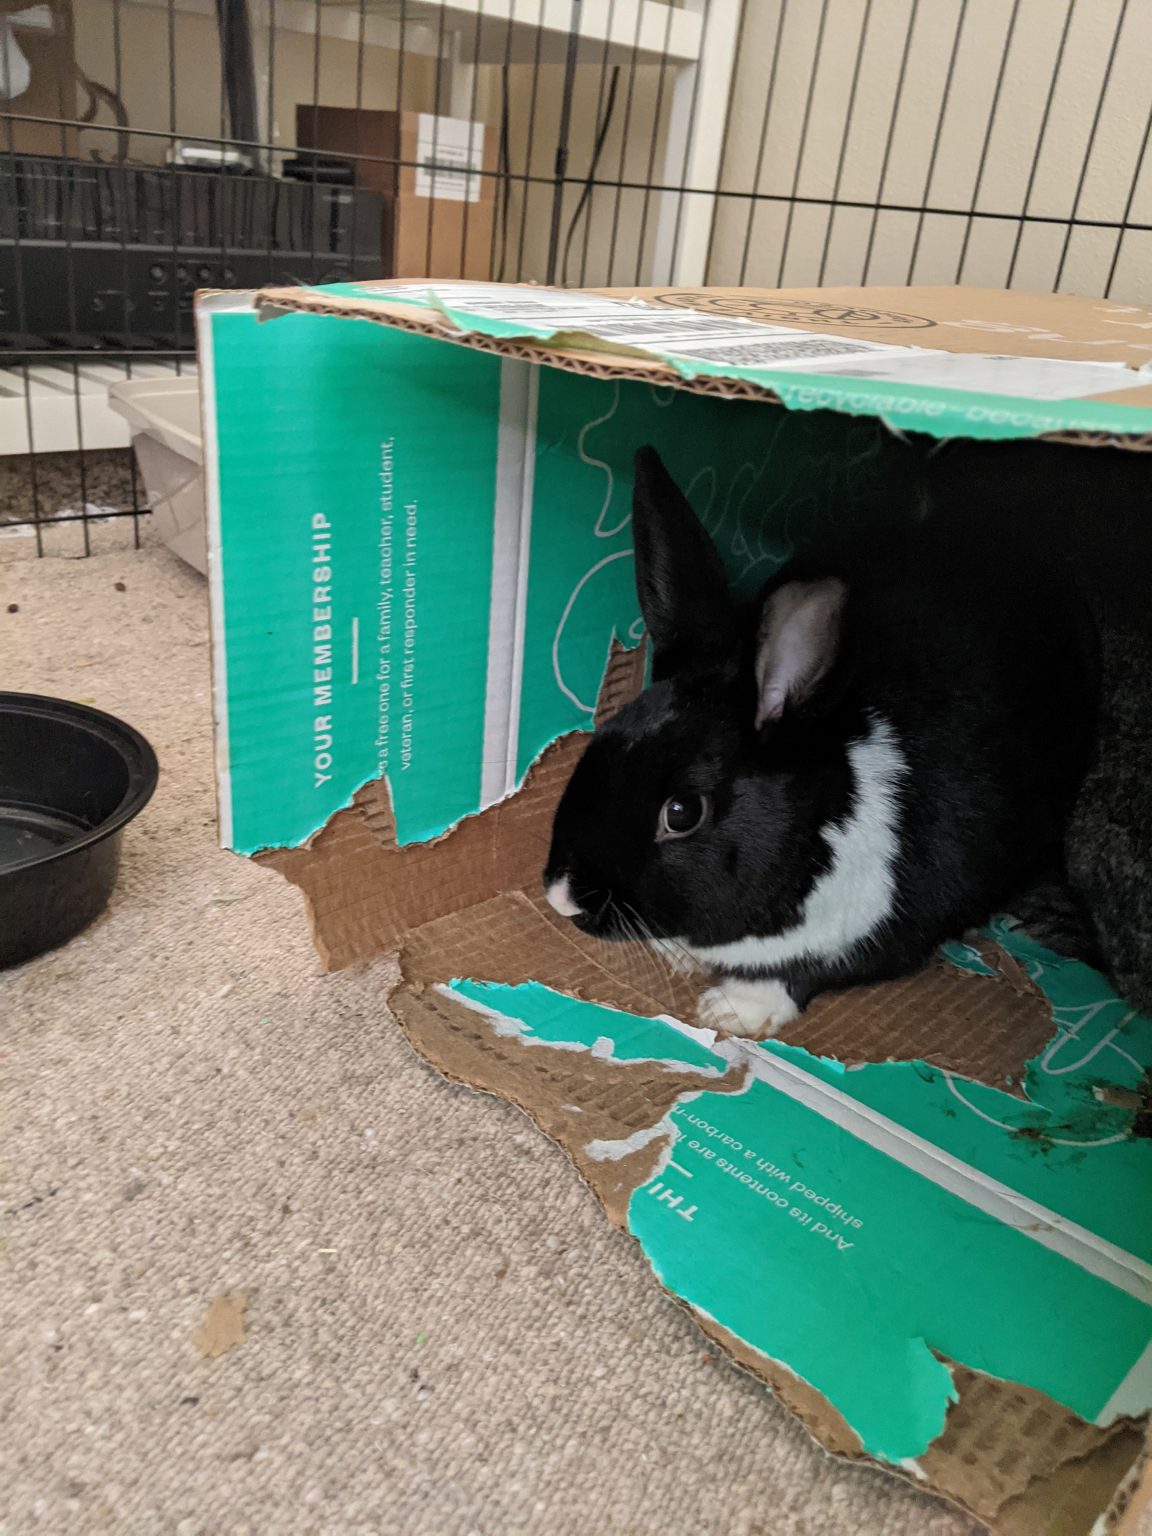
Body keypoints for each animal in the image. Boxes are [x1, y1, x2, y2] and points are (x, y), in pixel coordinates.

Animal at [541, 445, 1099, 1039]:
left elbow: (804, 973)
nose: (561, 897)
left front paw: (730, 1011)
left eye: (682, 812)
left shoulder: (881, 933)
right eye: (601, 740)